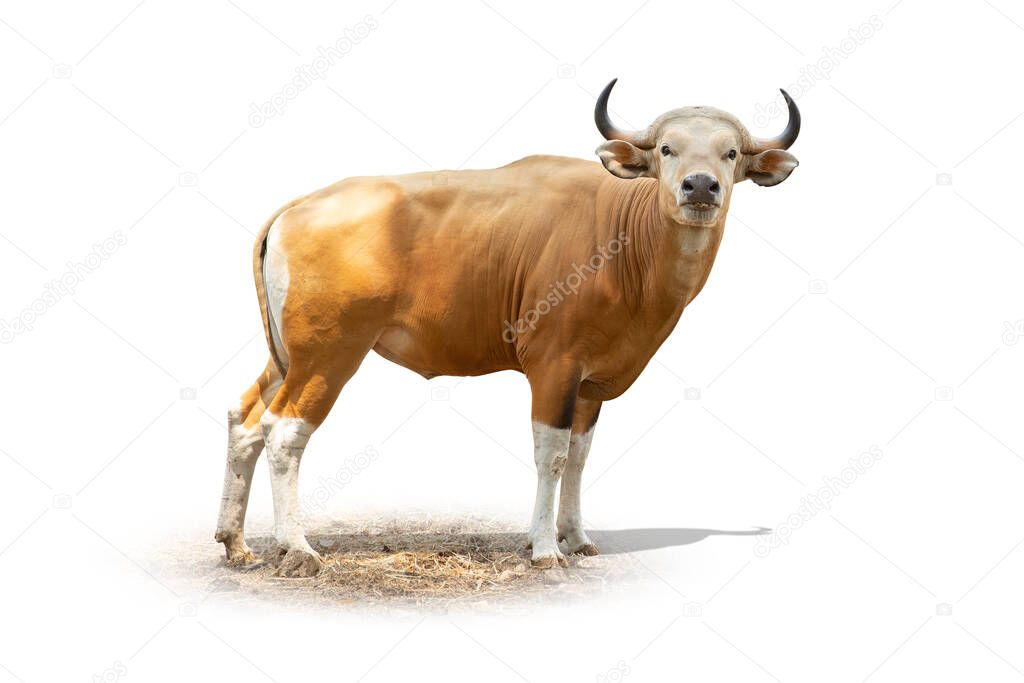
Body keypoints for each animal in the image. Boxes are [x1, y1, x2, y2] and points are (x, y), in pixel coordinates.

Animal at [214, 79, 801, 577]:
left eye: (730, 153)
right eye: (666, 149)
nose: (700, 187)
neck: (622, 243)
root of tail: (296, 207)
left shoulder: (591, 383)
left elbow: (580, 457)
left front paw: (577, 538)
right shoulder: (552, 368)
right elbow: (552, 455)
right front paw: (543, 549)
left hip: (287, 354)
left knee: (245, 419)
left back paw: (236, 543)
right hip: (329, 354)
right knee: (284, 431)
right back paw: (298, 548)